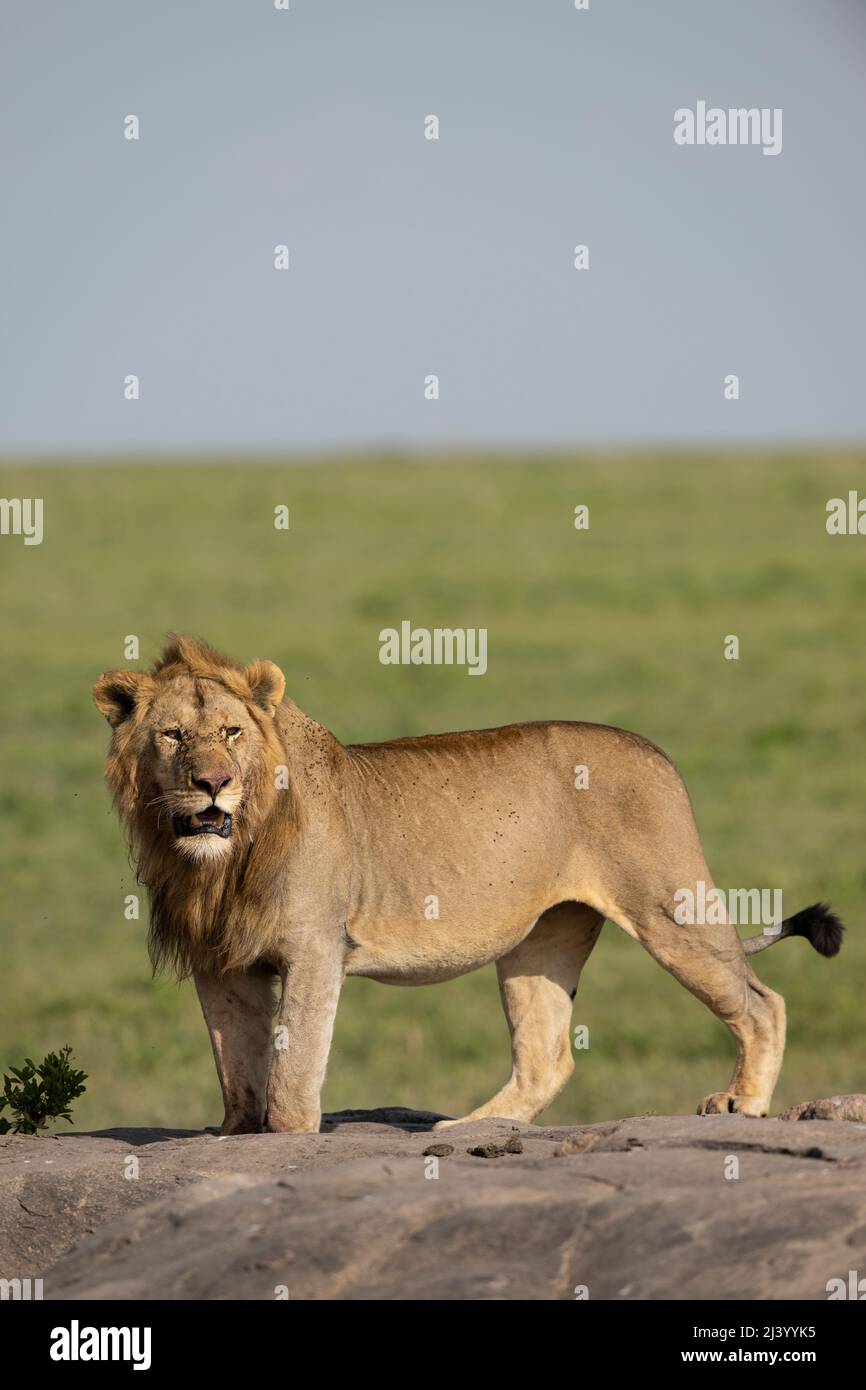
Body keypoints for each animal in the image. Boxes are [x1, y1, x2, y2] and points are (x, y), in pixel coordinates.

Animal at [93, 635, 844, 1134]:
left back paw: (742, 1102)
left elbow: (292, 1072)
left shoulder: (314, 948)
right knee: (547, 1057)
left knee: (762, 1003)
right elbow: (237, 1064)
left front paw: (289, 1138)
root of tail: (656, 751)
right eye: (171, 736)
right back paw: (469, 1129)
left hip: (667, 906)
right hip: (542, 941)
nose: (212, 782)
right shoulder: (219, 960)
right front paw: (229, 1135)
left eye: (230, 732)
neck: (217, 861)